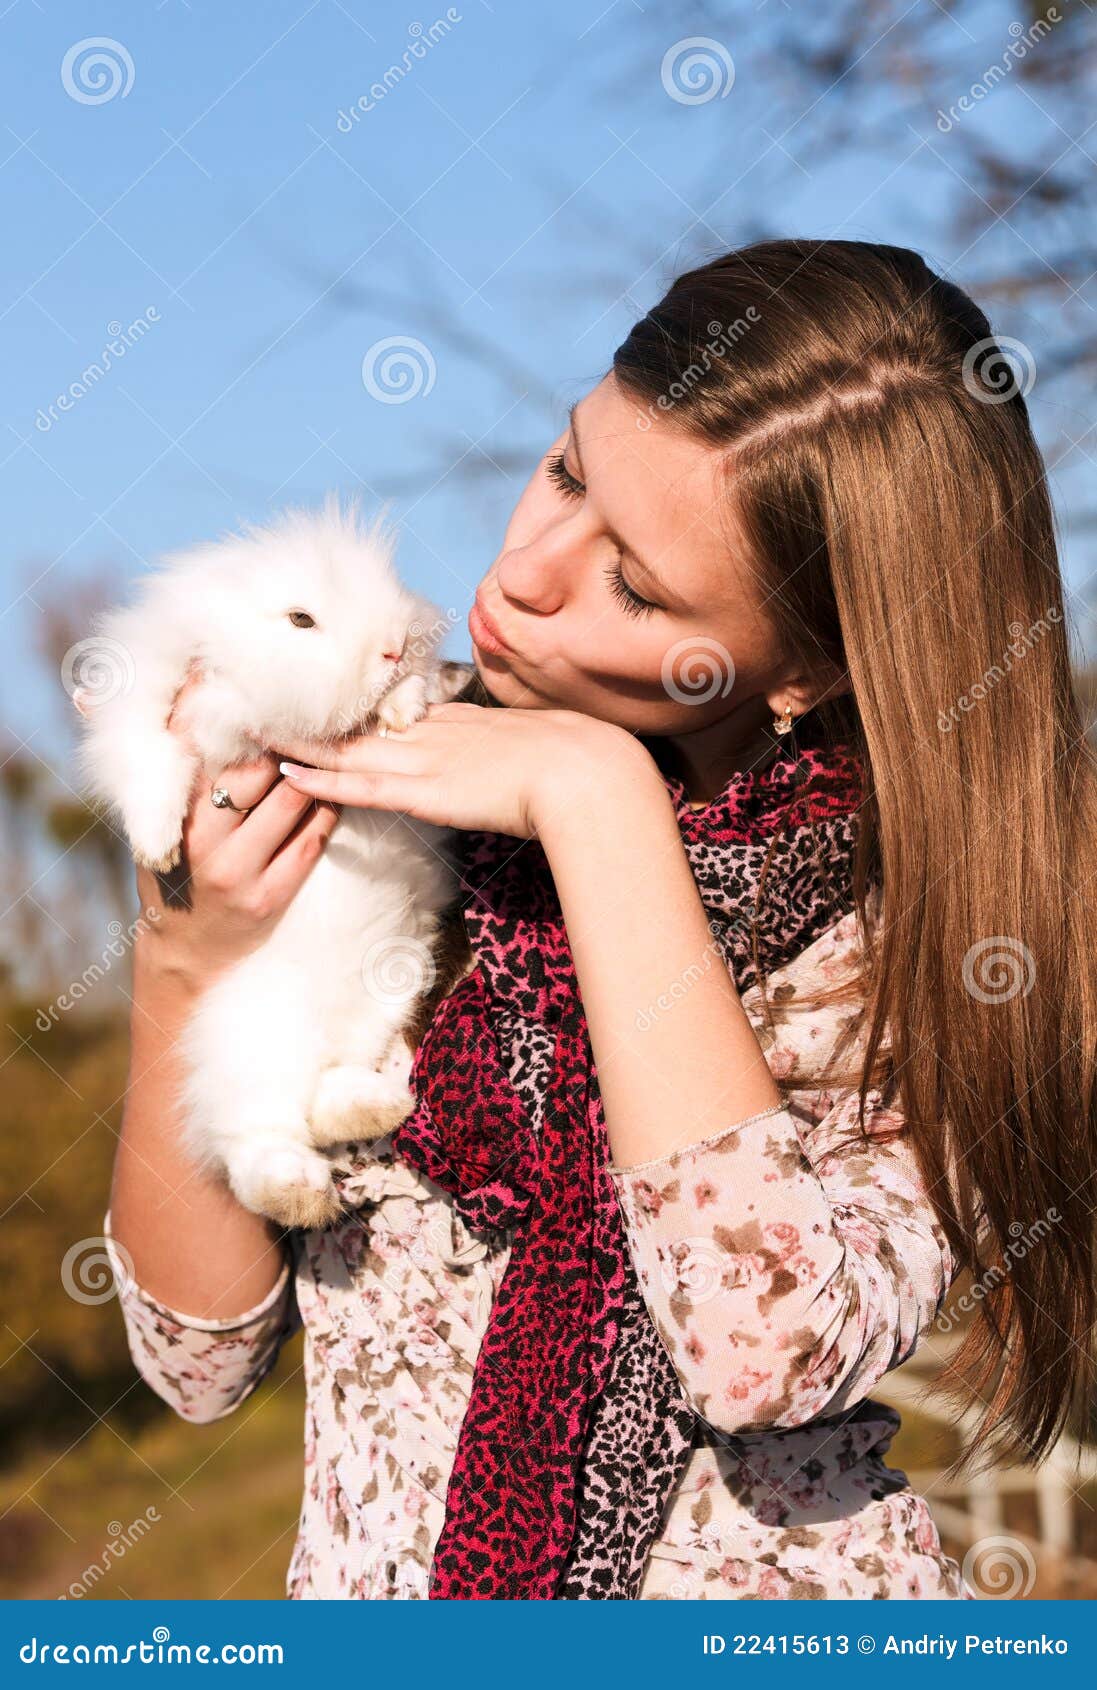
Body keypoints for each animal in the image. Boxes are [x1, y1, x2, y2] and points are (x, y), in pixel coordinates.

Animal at [75, 499, 471, 1229]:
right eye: (300, 620)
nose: (392, 646)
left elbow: (417, 693)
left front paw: (400, 708)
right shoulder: (146, 713)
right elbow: (152, 765)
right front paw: (158, 846)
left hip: (390, 987)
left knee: (323, 1099)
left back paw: (375, 1110)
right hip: (247, 1038)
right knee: (258, 1139)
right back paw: (302, 1191)